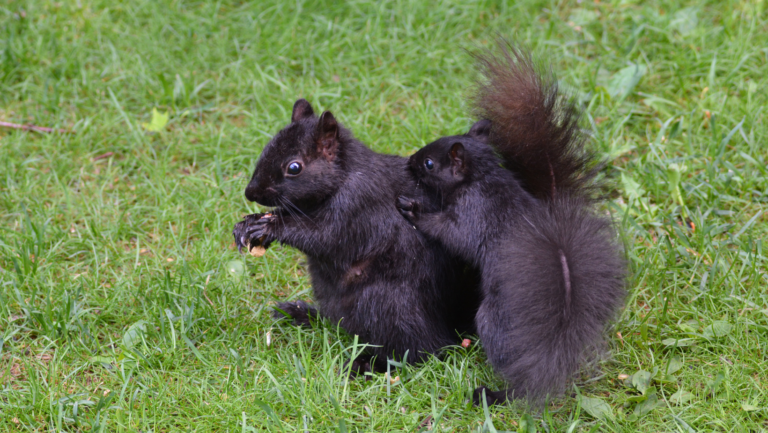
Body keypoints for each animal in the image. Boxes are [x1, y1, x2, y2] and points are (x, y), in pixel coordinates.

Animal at [232, 99, 480, 373]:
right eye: (267, 147)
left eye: (294, 168)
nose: (251, 192)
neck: (343, 176)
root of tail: (450, 325)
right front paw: (249, 223)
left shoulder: (358, 203)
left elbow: (324, 236)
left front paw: (269, 228)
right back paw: (302, 314)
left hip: (389, 305)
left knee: (421, 351)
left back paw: (368, 365)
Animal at [396, 42, 626, 404]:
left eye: (430, 163)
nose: (409, 161)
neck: (481, 177)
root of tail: (550, 344)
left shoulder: (474, 214)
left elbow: (452, 234)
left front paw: (413, 209)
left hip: (492, 321)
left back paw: (495, 394)